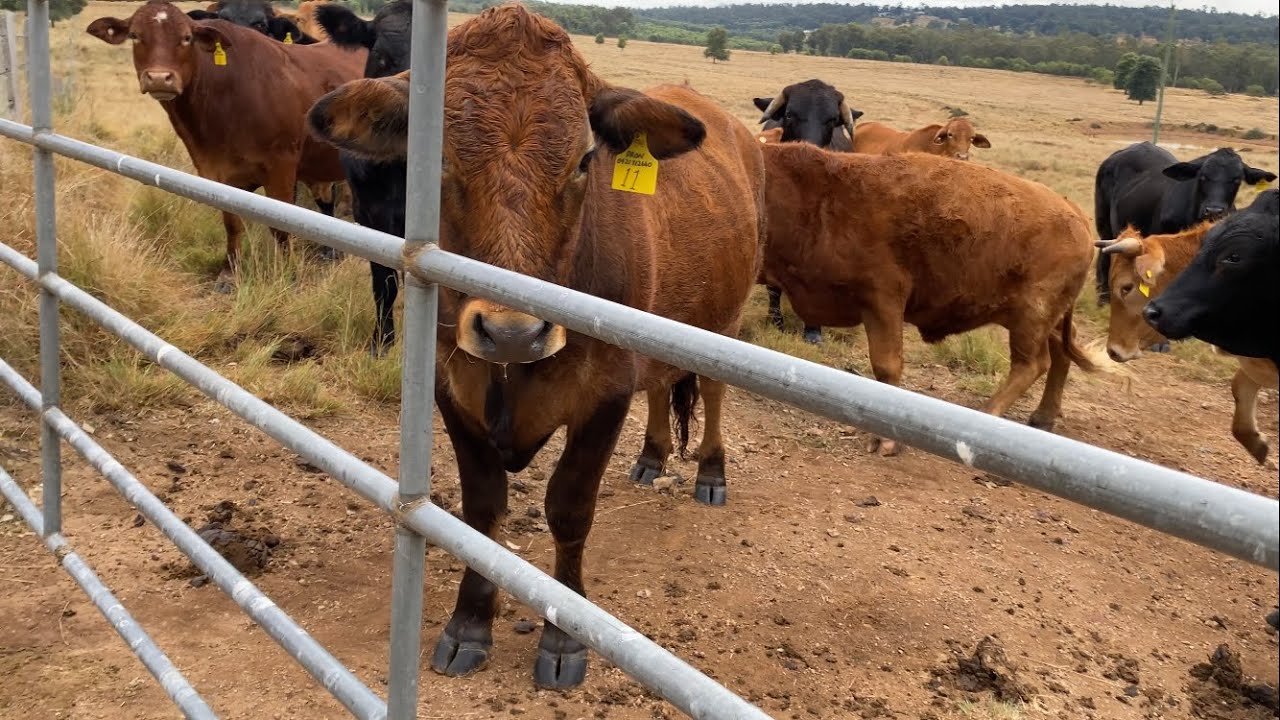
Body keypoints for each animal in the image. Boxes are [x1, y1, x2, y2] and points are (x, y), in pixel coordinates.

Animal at [87, 1, 367, 292]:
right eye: (135, 35)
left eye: (187, 38)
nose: (159, 78)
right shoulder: (218, 174)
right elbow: (232, 223)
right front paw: (229, 274)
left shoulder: (281, 167)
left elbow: (281, 226)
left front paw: (288, 275)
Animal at [307, 4, 765, 689]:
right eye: (439, 159)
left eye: (583, 161)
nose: (512, 332)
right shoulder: (451, 384)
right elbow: (482, 509)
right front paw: (469, 623)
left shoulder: (604, 395)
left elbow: (570, 509)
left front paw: (563, 638)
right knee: (662, 388)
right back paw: (652, 457)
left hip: (721, 326)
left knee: (708, 391)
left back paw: (710, 472)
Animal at [761, 141, 1103, 455]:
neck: (820, 196)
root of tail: (1078, 218)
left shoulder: (883, 300)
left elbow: (887, 366)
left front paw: (886, 440)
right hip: (1049, 318)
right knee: (1060, 352)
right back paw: (1043, 417)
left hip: (1031, 316)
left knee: (1032, 364)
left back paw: (988, 415)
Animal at [1093, 142, 1276, 305]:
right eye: (1203, 177)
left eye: (1236, 180)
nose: (1214, 210)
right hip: (1105, 224)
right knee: (1105, 256)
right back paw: (1104, 297)